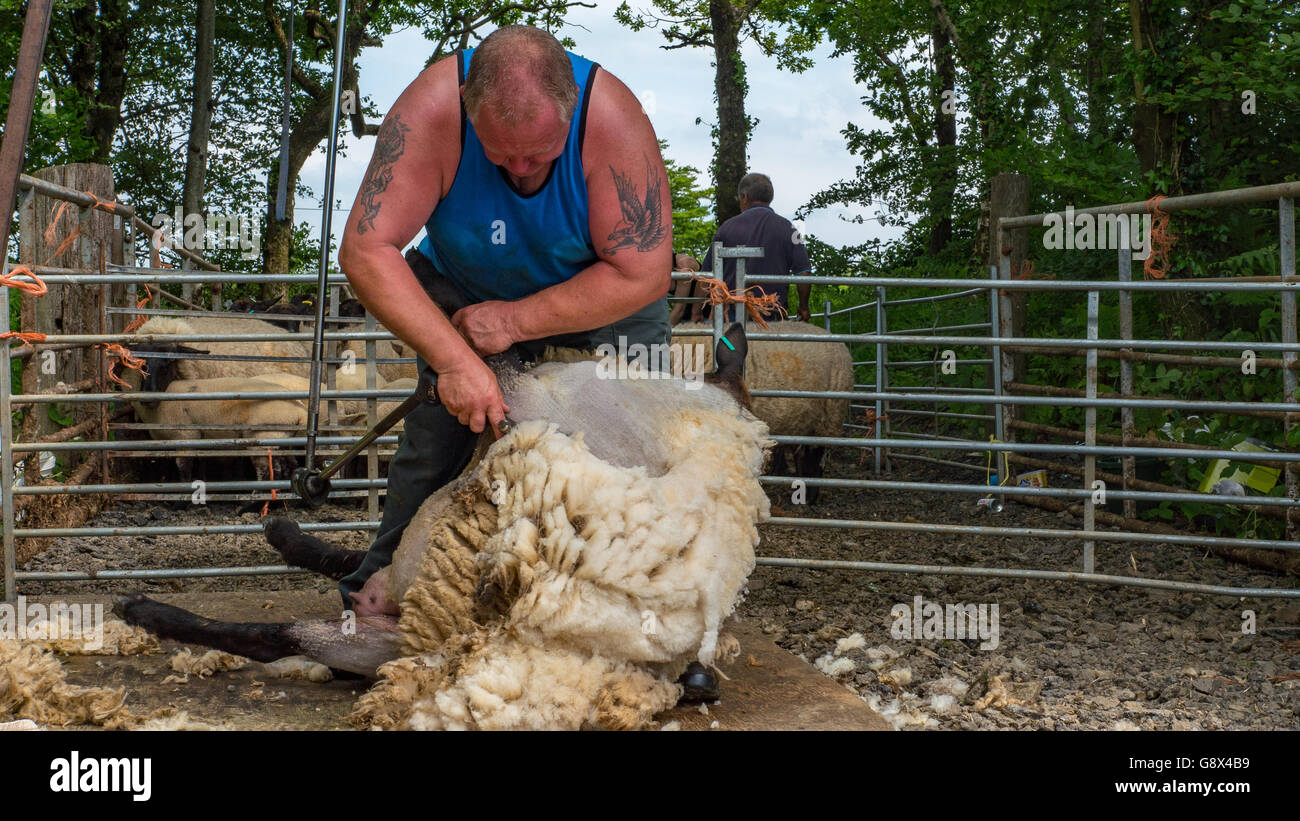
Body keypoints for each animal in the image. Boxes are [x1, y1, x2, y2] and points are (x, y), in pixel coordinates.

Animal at [115, 327, 771, 730]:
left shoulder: (522, 394)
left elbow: (489, 361)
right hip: (391, 608)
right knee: (351, 570)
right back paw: (286, 535)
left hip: (375, 635)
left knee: (279, 633)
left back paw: (142, 607)